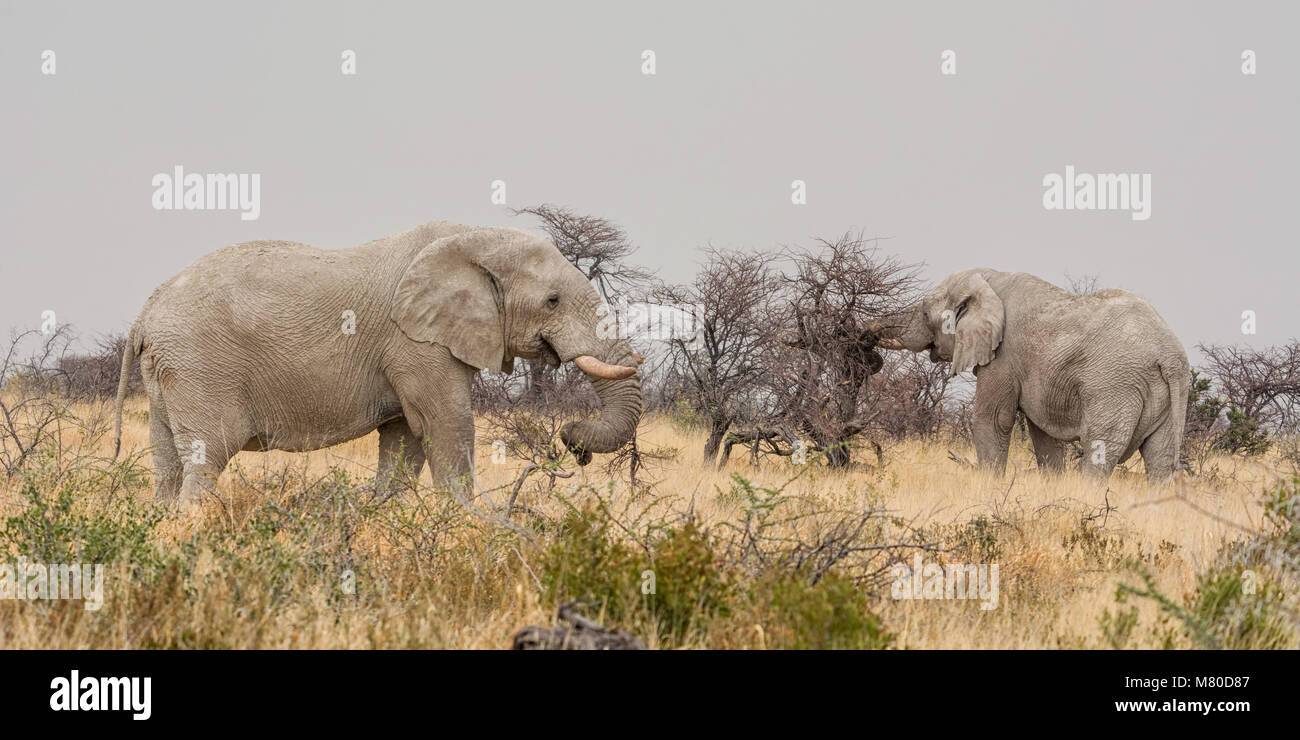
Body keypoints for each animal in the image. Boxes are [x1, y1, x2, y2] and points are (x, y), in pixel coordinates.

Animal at [112, 221, 643, 509]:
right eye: (553, 301)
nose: (572, 443)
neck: (472, 239)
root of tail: (146, 311)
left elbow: (404, 440)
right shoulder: (414, 341)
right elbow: (447, 424)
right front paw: (472, 527)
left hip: (168, 373)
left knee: (167, 465)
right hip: (200, 367)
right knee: (206, 462)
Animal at [875, 269, 1189, 480]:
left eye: (925, 313)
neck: (989, 281)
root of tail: (1170, 356)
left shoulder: (1004, 356)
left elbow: (993, 420)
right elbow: (1043, 433)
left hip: (1115, 385)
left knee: (1100, 450)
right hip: (1168, 395)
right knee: (1160, 457)